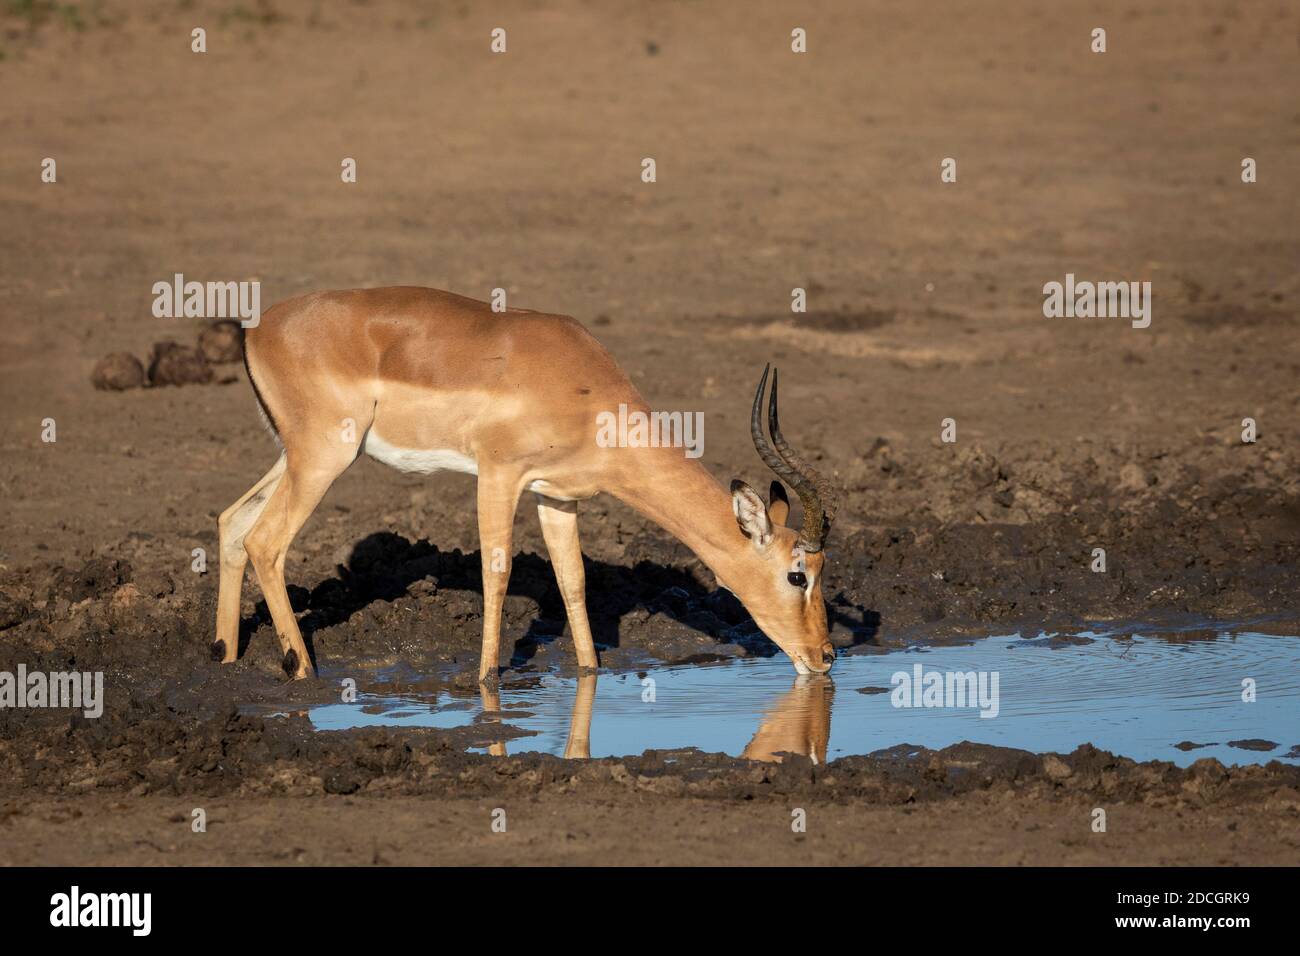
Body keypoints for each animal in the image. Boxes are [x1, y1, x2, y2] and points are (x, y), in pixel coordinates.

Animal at [212, 287, 838, 682]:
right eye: (797, 574)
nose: (827, 656)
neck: (583, 388)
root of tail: (258, 329)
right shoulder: (498, 474)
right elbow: (498, 570)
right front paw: (488, 677)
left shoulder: (555, 496)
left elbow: (573, 579)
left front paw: (589, 671)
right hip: (324, 457)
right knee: (265, 541)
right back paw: (303, 669)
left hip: (297, 457)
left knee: (231, 521)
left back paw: (224, 656)